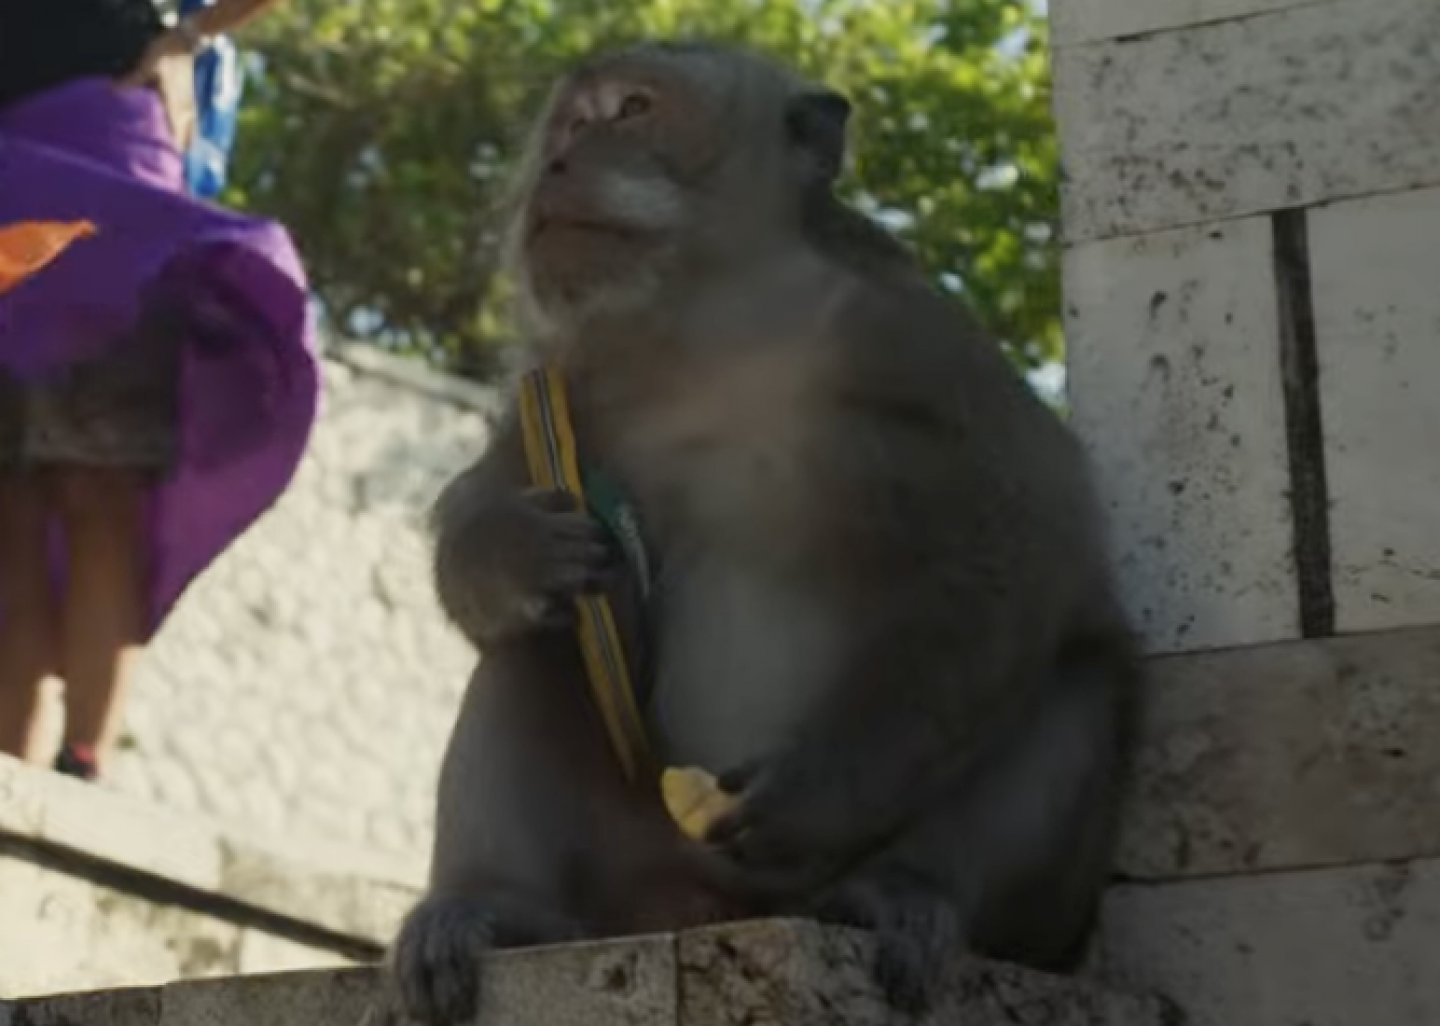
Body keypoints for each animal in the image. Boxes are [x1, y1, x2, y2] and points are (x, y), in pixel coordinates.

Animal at [388, 38, 1140, 1026]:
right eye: (569, 124)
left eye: (632, 109)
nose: (557, 164)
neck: (716, 331)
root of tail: (720, 908)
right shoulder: (566, 371)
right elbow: (492, 510)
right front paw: (512, 549)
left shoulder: (924, 347)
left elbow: (1012, 559)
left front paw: (815, 795)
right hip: (628, 867)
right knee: (540, 647)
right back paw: (495, 907)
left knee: (1080, 681)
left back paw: (897, 892)